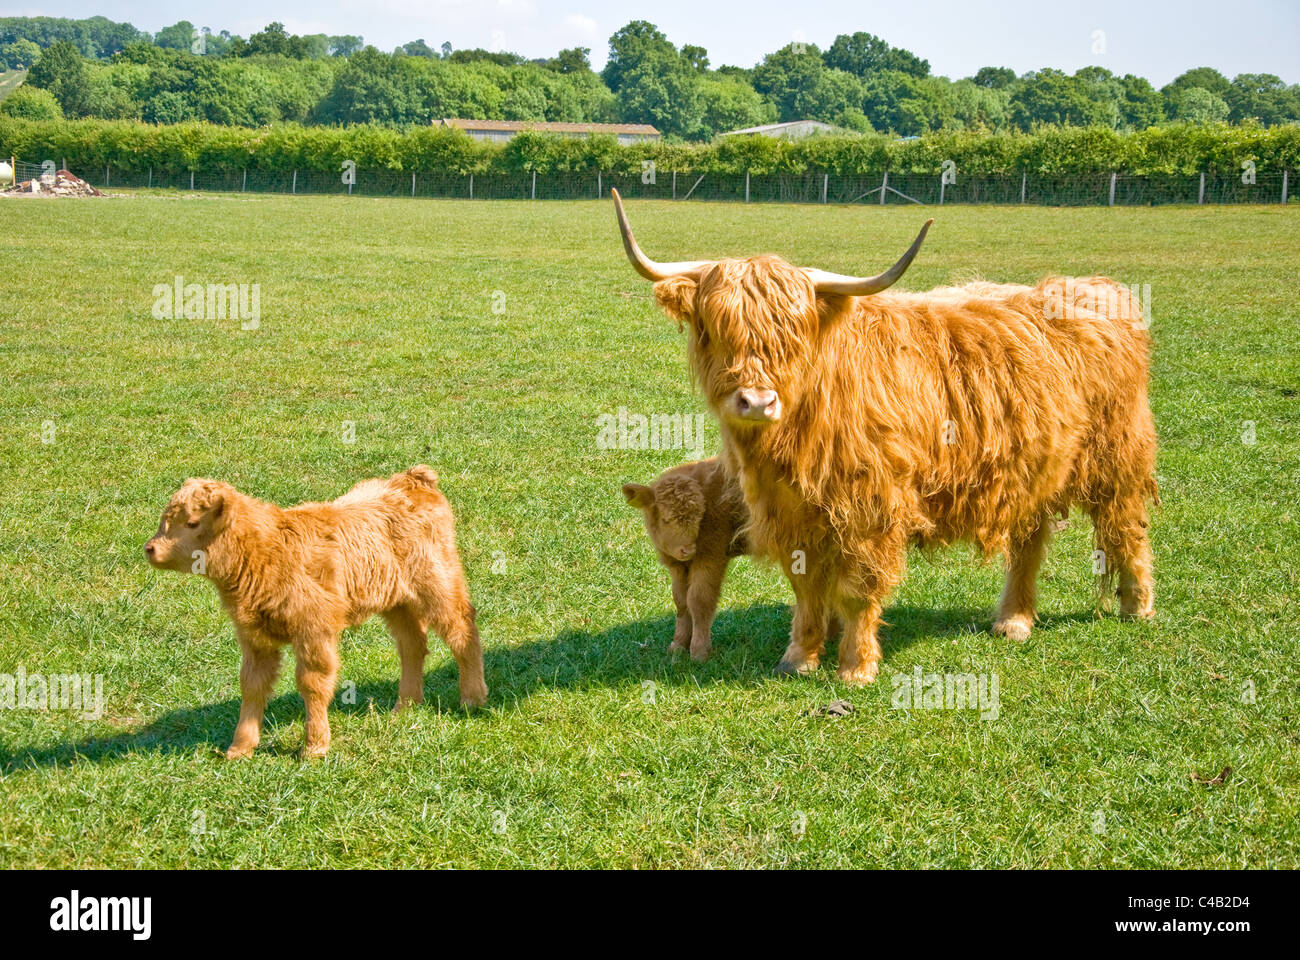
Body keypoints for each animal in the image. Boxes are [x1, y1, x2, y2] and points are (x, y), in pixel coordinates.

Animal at [610, 188, 1157, 685]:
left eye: (794, 334)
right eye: (713, 327)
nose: (758, 402)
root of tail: (1097, 289)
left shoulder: (872, 509)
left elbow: (857, 591)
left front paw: (855, 667)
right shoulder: (792, 514)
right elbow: (805, 587)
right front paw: (799, 657)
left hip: (1118, 454)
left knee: (1126, 525)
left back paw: (1138, 605)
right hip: (1031, 466)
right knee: (1030, 540)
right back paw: (1014, 620)